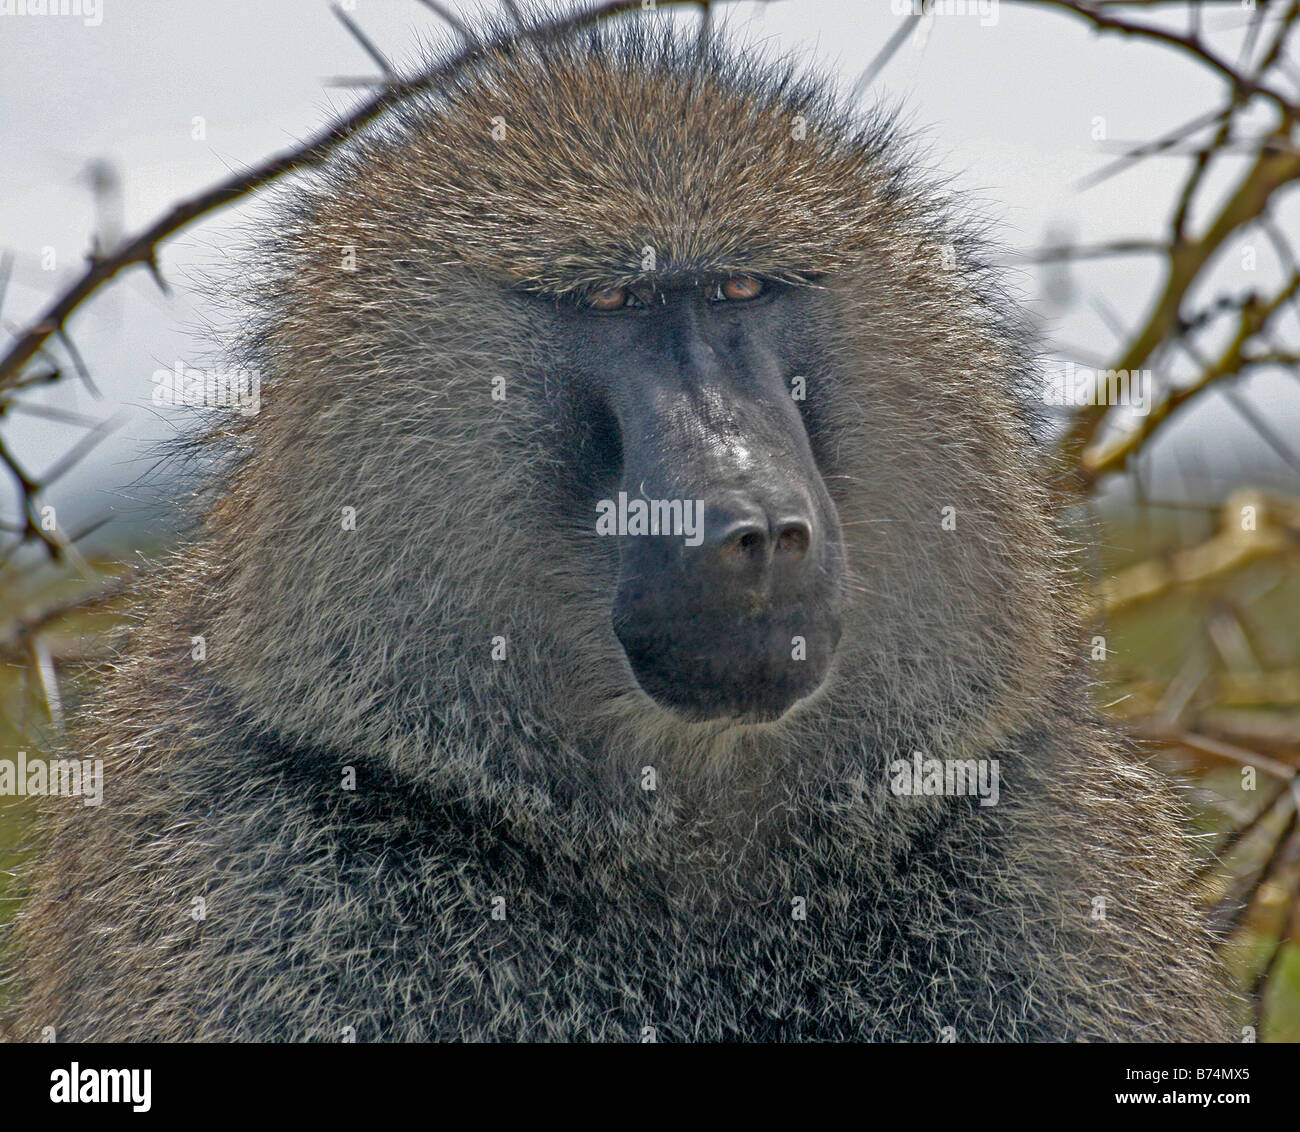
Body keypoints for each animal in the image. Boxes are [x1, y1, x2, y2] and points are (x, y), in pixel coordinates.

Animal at [4, 10, 1236, 1042]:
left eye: (740, 290)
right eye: (613, 302)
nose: (759, 524)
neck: (684, 849)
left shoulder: (1035, 850)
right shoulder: (254, 871)